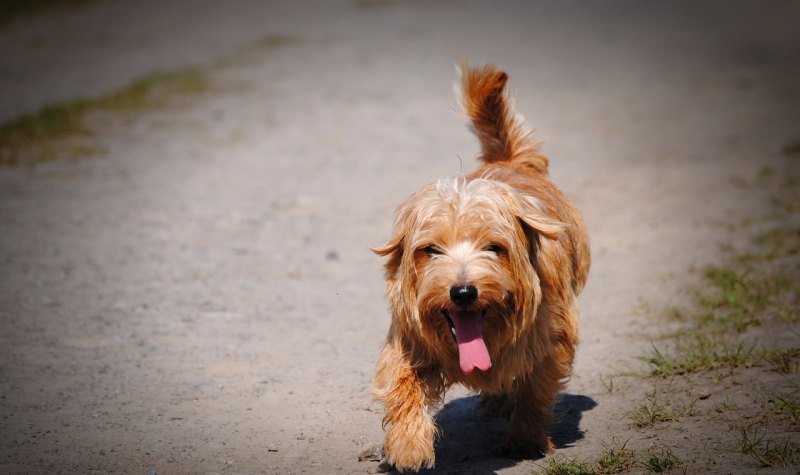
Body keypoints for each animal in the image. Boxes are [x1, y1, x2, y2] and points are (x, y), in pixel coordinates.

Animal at [372, 62, 592, 472]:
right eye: (431, 250)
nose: (463, 292)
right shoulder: (408, 341)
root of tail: (508, 161)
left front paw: (525, 438)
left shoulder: (552, 339)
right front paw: (408, 445)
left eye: (494, 247)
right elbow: (402, 385)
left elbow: (535, 388)